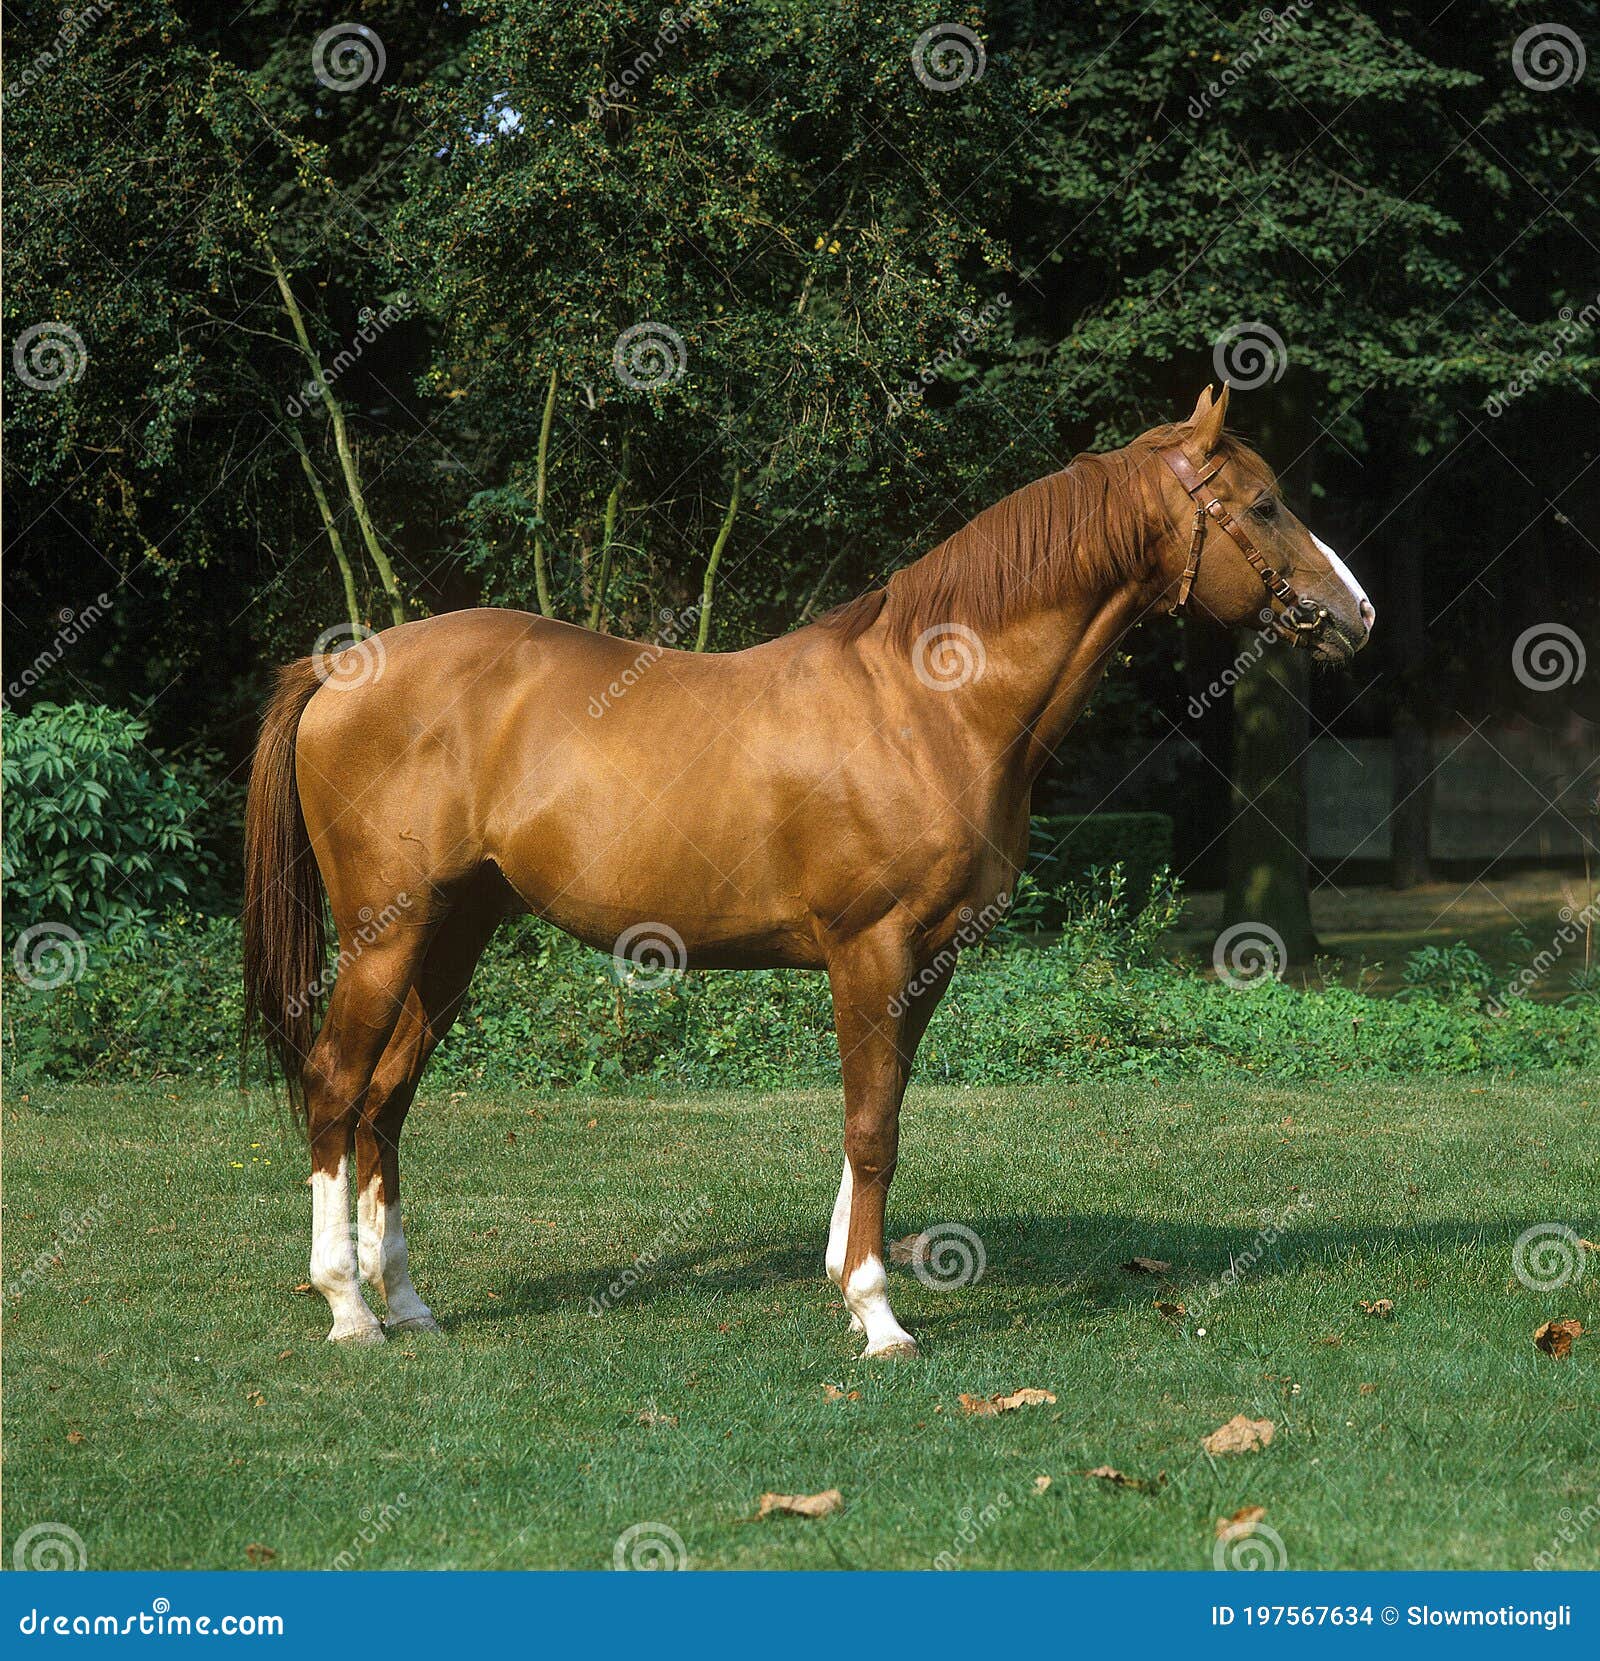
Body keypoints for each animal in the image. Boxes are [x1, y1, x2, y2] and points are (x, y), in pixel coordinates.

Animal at [242, 383, 1375, 1355]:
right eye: (1263, 503)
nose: (1357, 614)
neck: (930, 702)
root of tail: (338, 666)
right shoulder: (870, 948)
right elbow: (871, 1123)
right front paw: (877, 1314)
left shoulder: (929, 958)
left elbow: (885, 1107)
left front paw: (843, 1272)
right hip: (386, 934)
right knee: (337, 1084)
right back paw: (348, 1307)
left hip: (456, 931)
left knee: (388, 1096)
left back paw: (408, 1302)